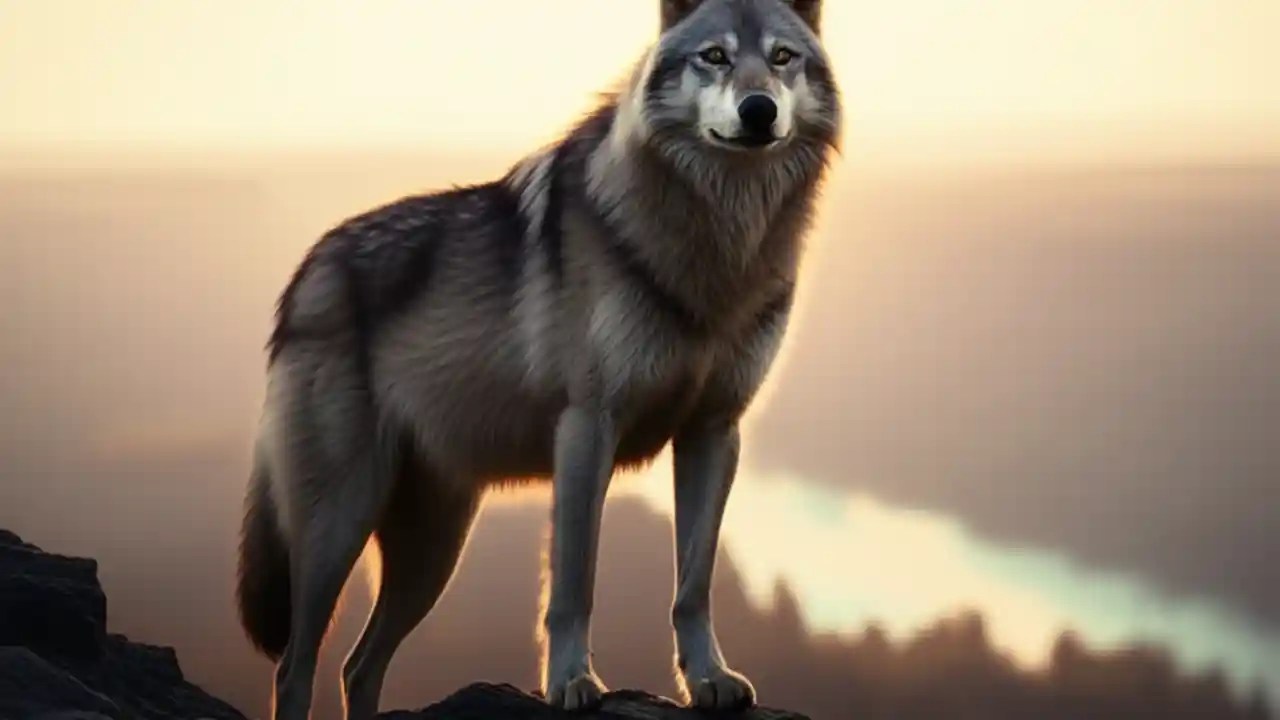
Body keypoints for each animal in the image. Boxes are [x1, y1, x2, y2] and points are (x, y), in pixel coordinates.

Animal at [235, 0, 840, 717]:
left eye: (781, 58)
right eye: (714, 56)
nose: (758, 109)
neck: (716, 245)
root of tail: (307, 272)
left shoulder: (713, 432)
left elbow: (694, 583)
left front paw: (708, 679)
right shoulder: (586, 426)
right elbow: (576, 578)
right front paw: (572, 682)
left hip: (432, 552)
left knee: (358, 665)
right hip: (339, 527)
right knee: (295, 668)